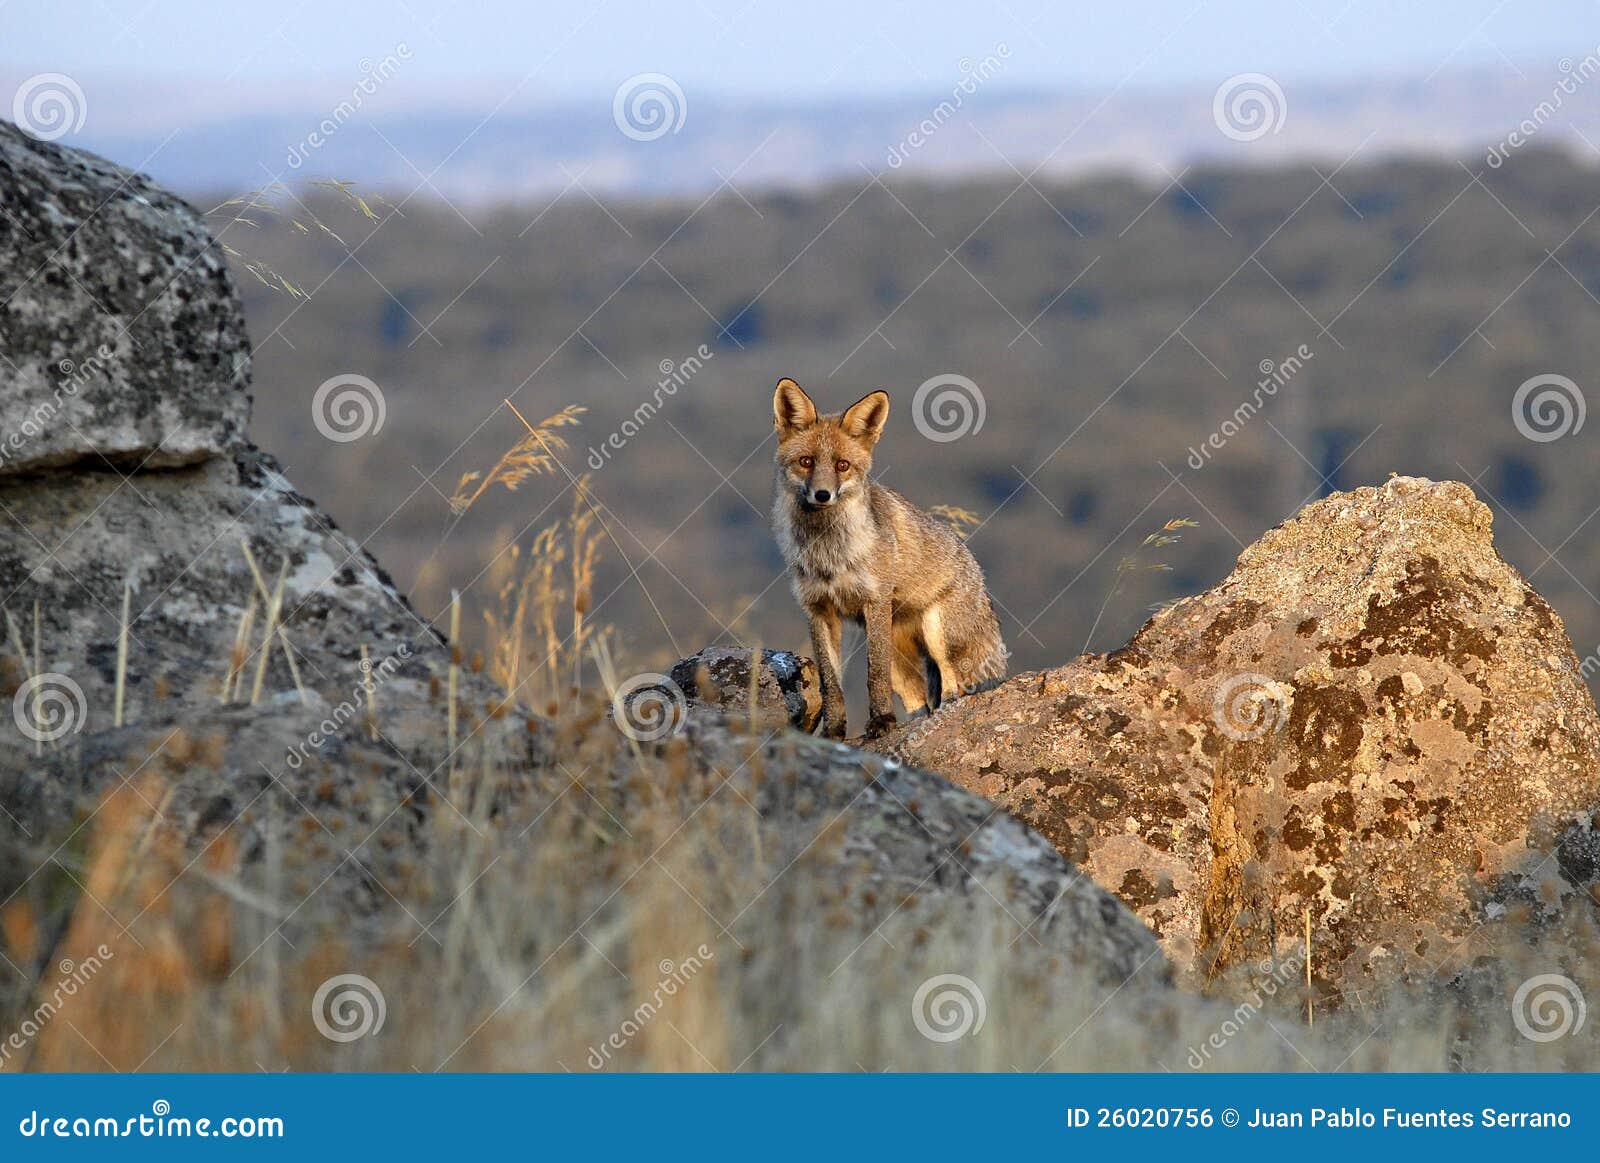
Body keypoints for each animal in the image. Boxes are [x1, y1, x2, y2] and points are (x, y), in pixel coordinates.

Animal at [770, 378, 1007, 740]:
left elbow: (874, 674)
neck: (827, 554)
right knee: (920, 703)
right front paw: (834, 731)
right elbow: (830, 683)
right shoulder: (818, 610)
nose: (823, 495)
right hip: (900, 660)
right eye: (806, 461)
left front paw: (881, 721)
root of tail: (980, 577)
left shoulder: (875, 601)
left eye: (842, 466)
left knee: (952, 689)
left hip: (936, 633)